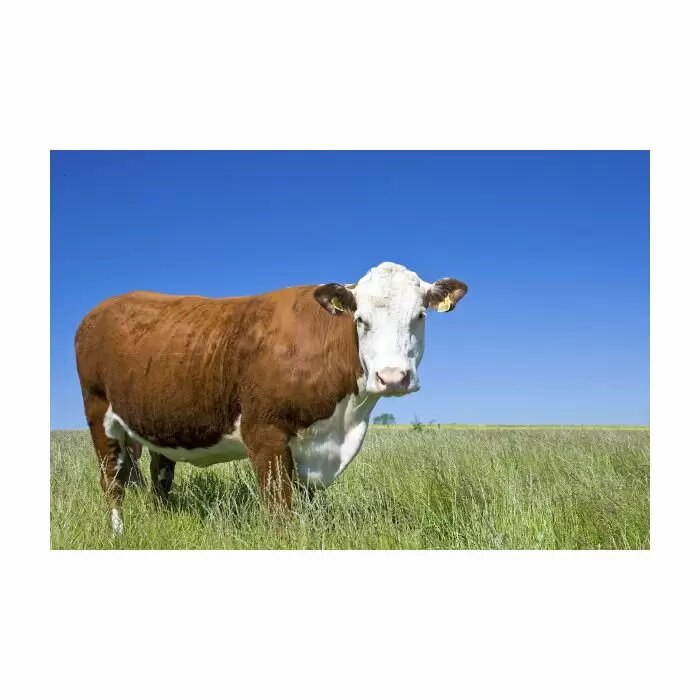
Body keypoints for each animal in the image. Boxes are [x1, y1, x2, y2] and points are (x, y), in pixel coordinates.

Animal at [74, 262, 468, 534]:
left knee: (160, 476)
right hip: (99, 414)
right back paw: (118, 531)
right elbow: (281, 510)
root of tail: (104, 306)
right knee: (112, 480)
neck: (342, 425)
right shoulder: (265, 435)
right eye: (360, 319)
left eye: (419, 316)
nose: (393, 377)